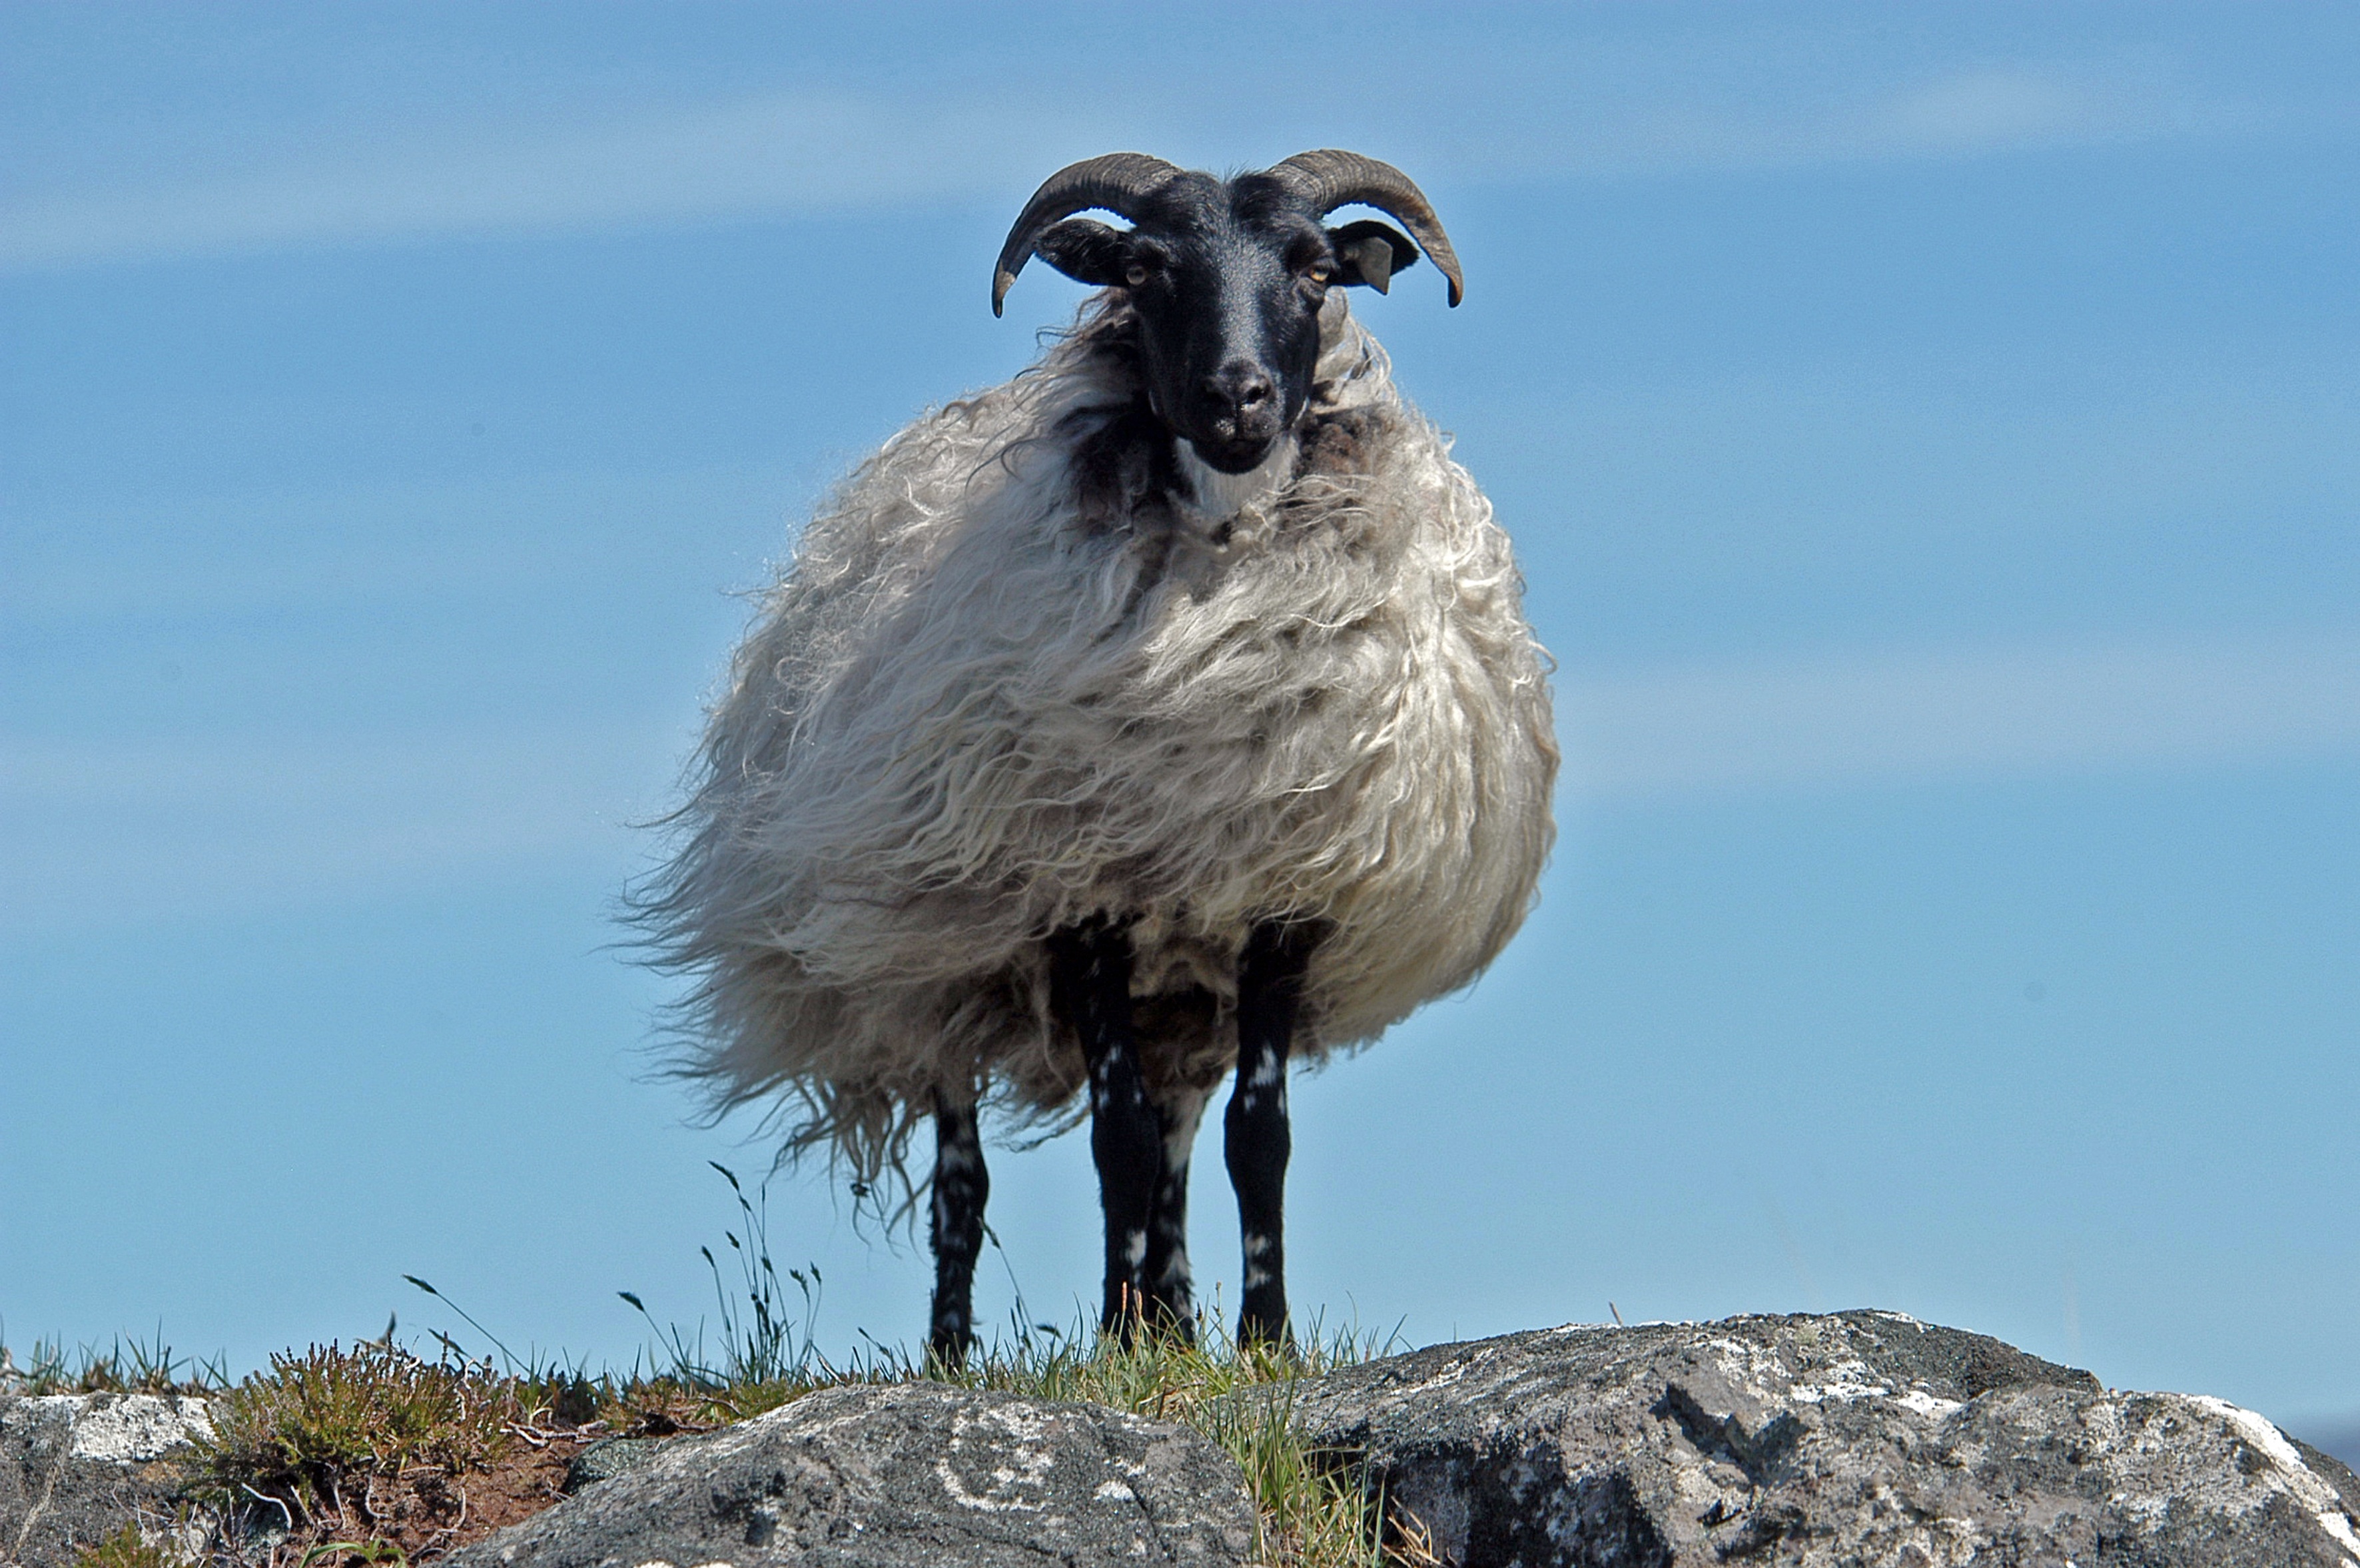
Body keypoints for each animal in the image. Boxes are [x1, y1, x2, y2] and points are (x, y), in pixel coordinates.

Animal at [637, 150, 1557, 1366]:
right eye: (1142, 269)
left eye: (1315, 269)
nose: (1236, 397)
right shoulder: (1076, 897)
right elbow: (1110, 1137)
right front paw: (1122, 1349)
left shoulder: (1281, 900)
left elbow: (1254, 1135)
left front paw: (1259, 1342)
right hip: (931, 956)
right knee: (964, 1179)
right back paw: (958, 1351)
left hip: (1178, 993)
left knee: (1172, 1148)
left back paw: (1171, 1317)